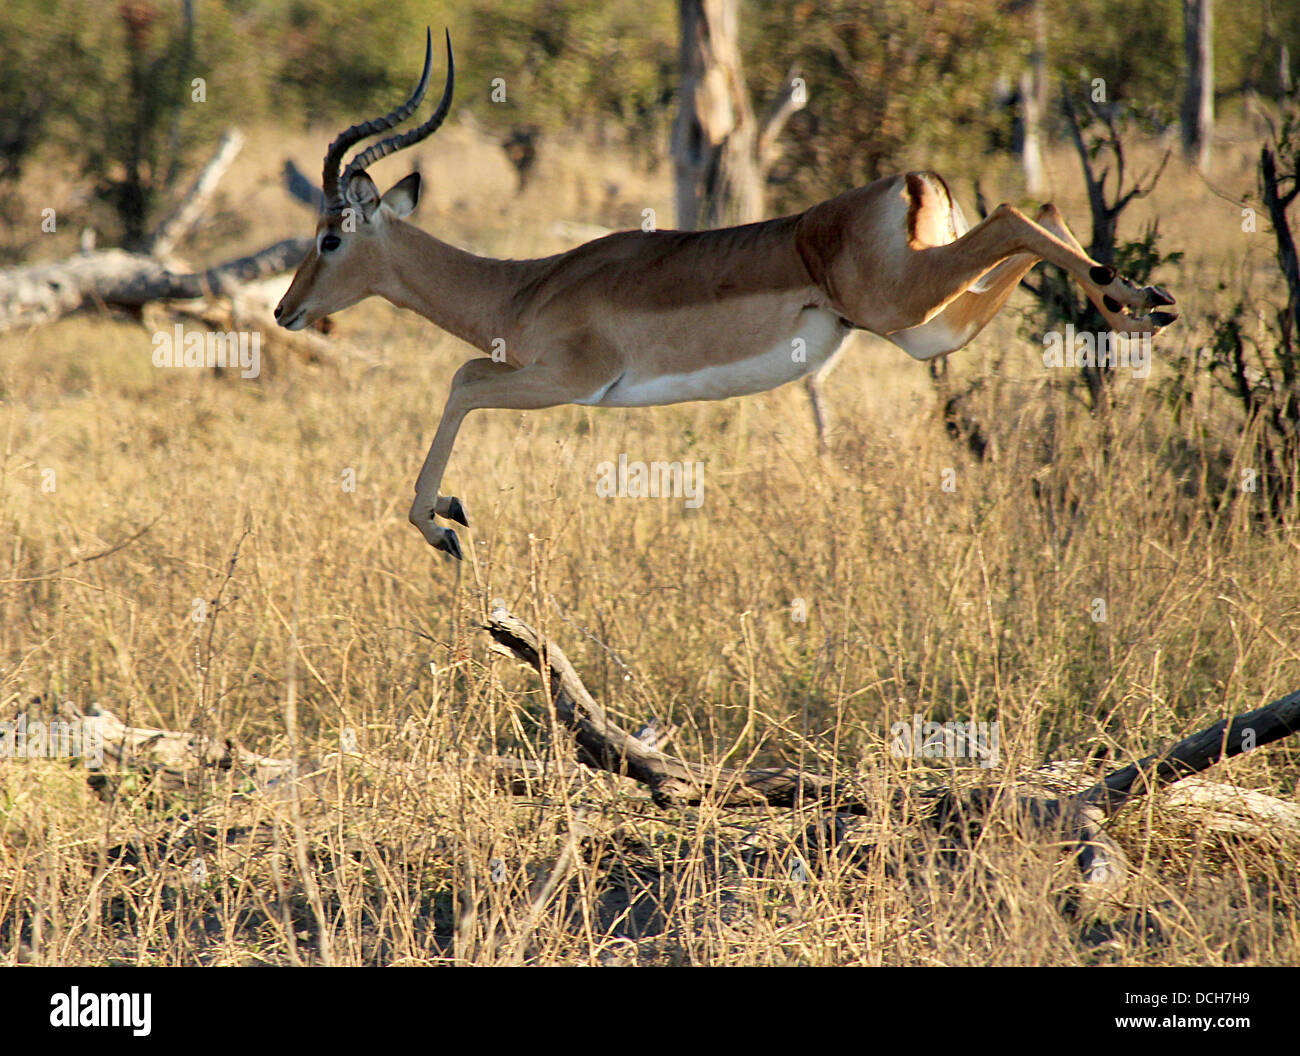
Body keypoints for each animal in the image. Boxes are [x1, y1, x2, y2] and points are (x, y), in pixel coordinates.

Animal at [275, 28, 1177, 559]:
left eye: (329, 237)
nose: (286, 311)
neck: (522, 288)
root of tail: (912, 179)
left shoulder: (566, 381)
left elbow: (460, 379)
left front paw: (444, 525)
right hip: (929, 327)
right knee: (1045, 214)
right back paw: (1138, 305)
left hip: (906, 304)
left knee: (1018, 212)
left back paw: (1137, 298)